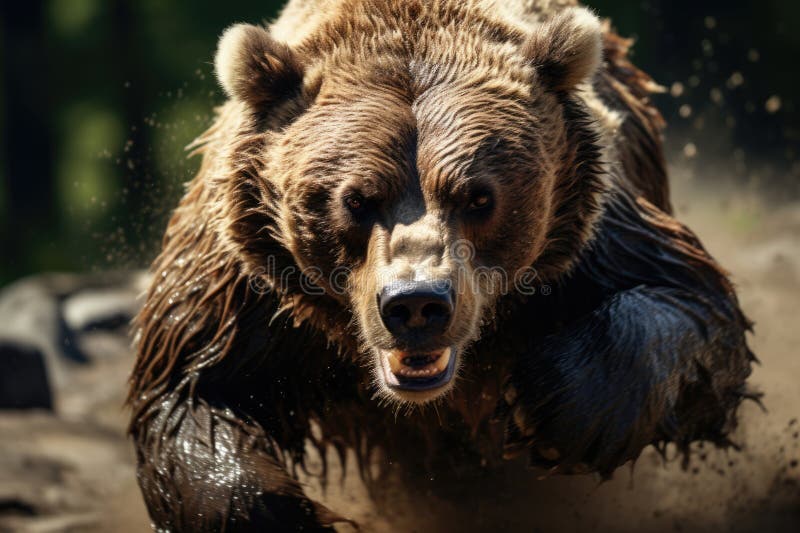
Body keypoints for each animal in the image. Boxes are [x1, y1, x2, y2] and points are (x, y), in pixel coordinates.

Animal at [127, 0, 756, 530]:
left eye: (479, 197)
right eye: (356, 199)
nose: (416, 304)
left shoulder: (593, 229)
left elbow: (690, 304)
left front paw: (550, 406)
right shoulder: (248, 284)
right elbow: (191, 388)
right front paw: (284, 514)